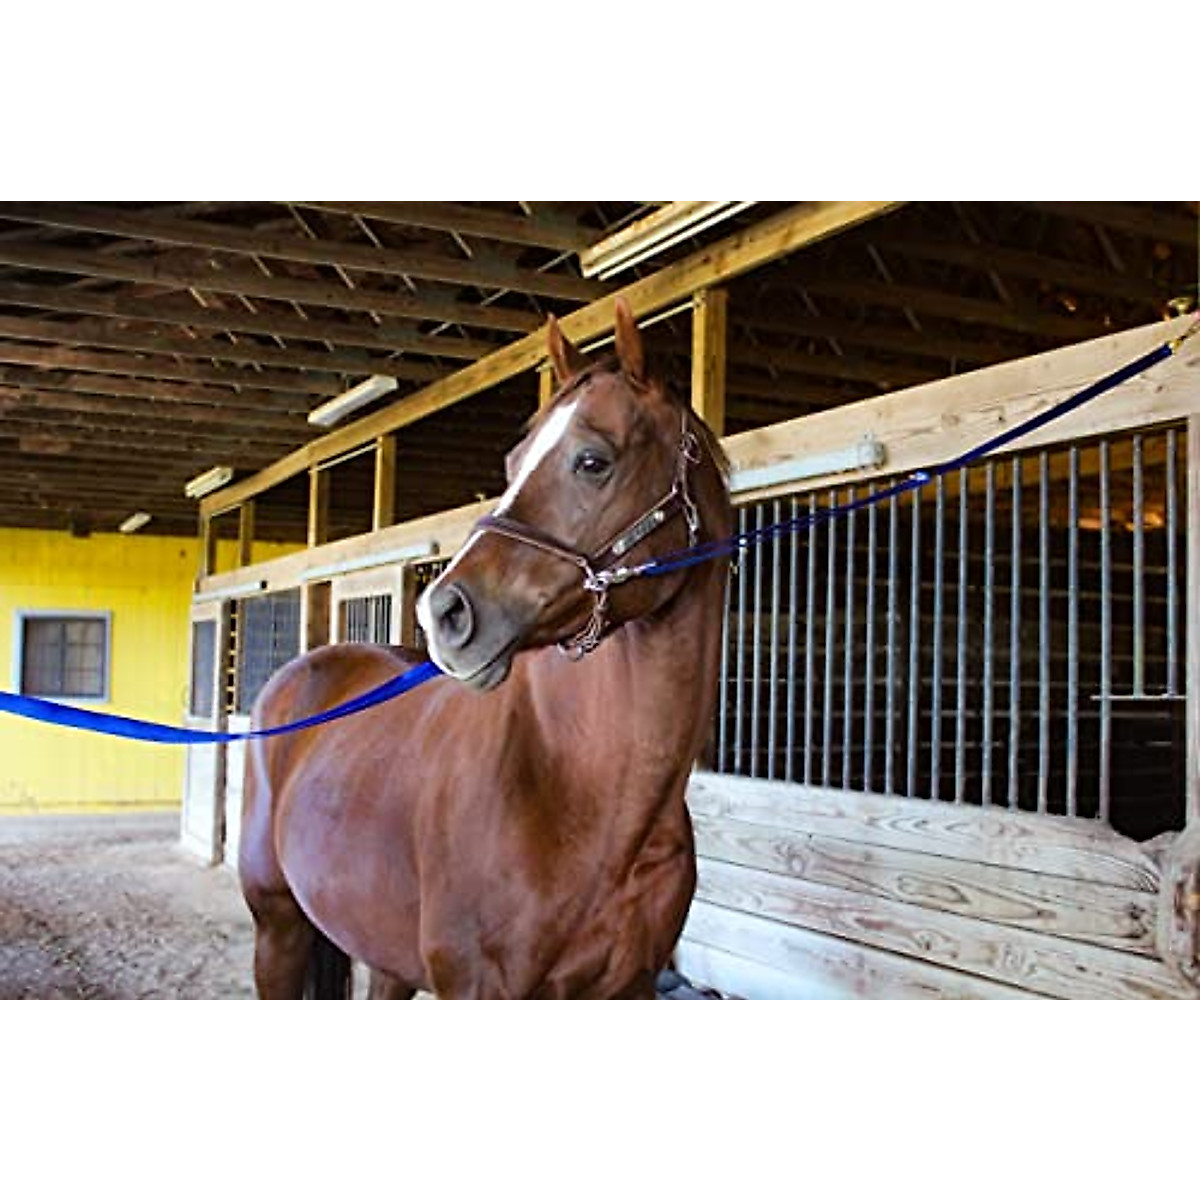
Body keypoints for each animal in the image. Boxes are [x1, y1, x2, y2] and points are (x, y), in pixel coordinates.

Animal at [238, 298, 732, 998]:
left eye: (592, 460)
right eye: (512, 462)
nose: (443, 613)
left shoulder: (632, 986)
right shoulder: (476, 987)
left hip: (384, 957)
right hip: (277, 928)